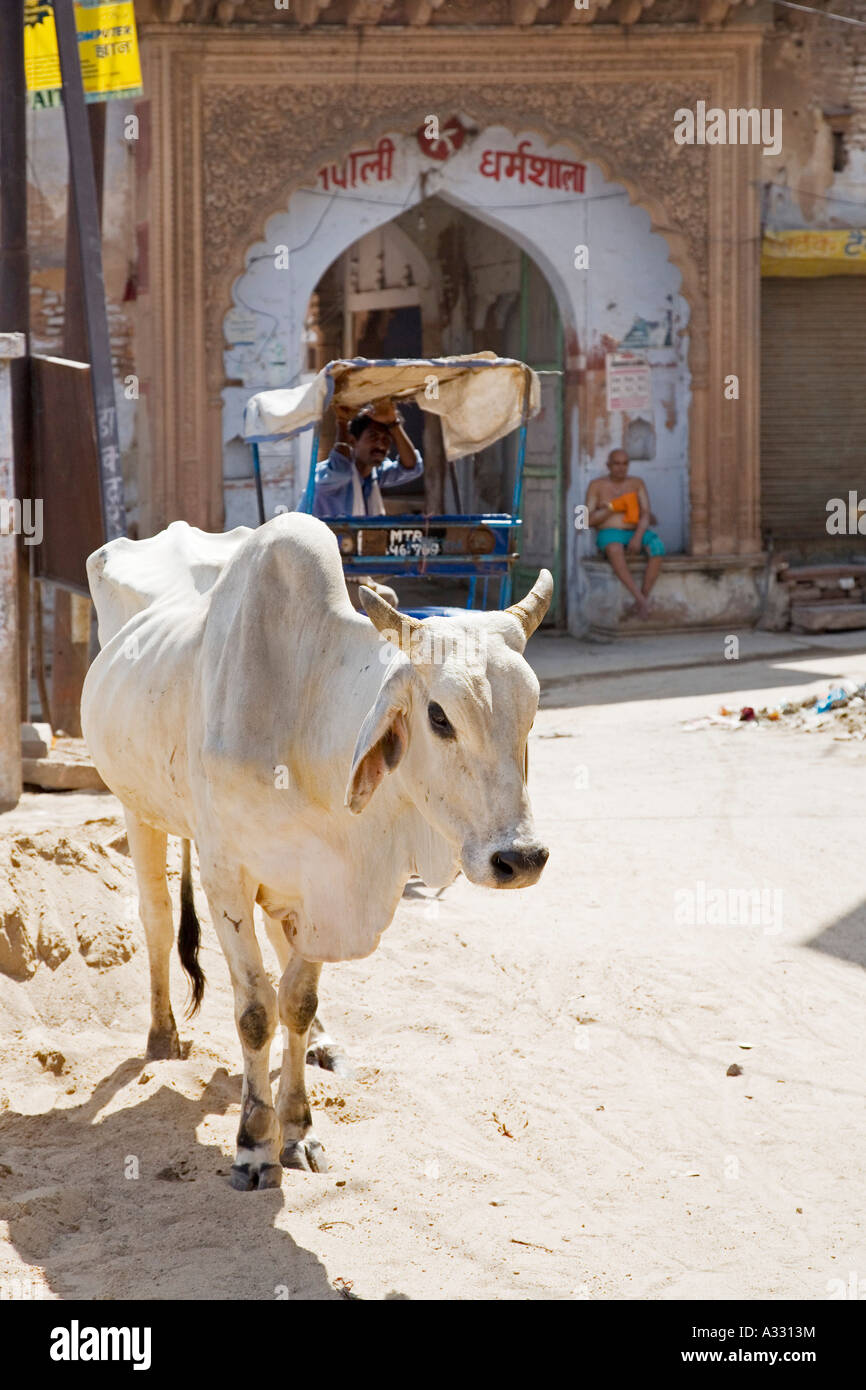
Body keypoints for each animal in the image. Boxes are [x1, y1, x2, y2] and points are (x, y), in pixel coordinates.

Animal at [81, 513, 551, 1191]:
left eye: (532, 715)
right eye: (439, 716)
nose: (521, 858)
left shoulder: (322, 886)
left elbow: (297, 1003)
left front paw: (297, 1128)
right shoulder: (226, 879)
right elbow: (256, 1010)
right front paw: (254, 1143)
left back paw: (321, 1045)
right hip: (135, 805)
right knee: (157, 919)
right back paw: (162, 1036)